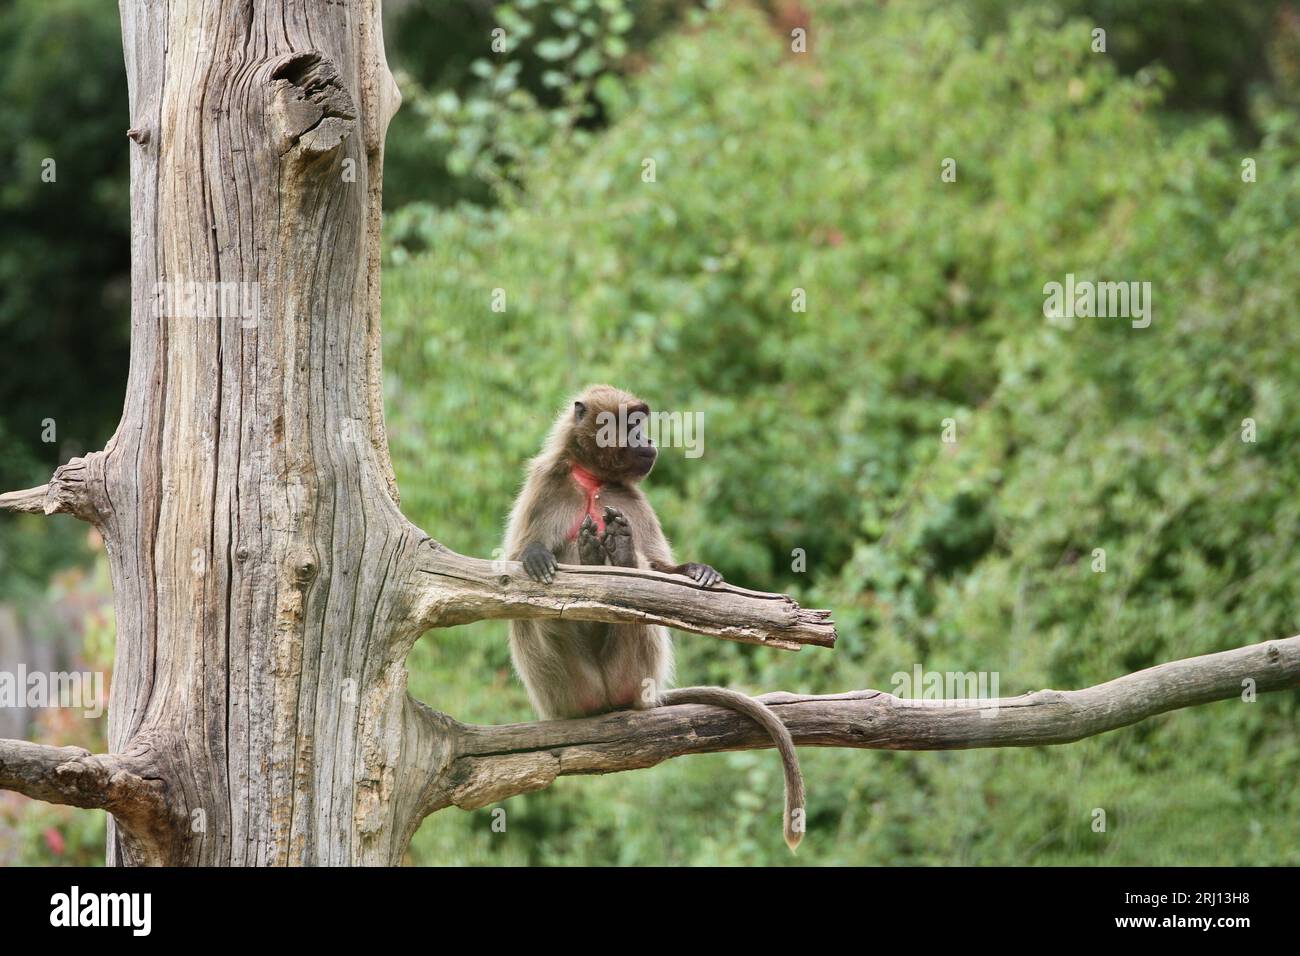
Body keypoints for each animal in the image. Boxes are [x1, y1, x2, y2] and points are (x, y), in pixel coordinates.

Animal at [504, 384, 806, 851]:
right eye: (631, 422)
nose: (648, 439)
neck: (592, 481)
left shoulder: (628, 500)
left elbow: (662, 575)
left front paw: (694, 570)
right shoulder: (544, 485)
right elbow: (512, 571)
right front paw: (535, 556)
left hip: (631, 675)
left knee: (640, 597)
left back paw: (618, 553)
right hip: (563, 693)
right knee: (536, 612)